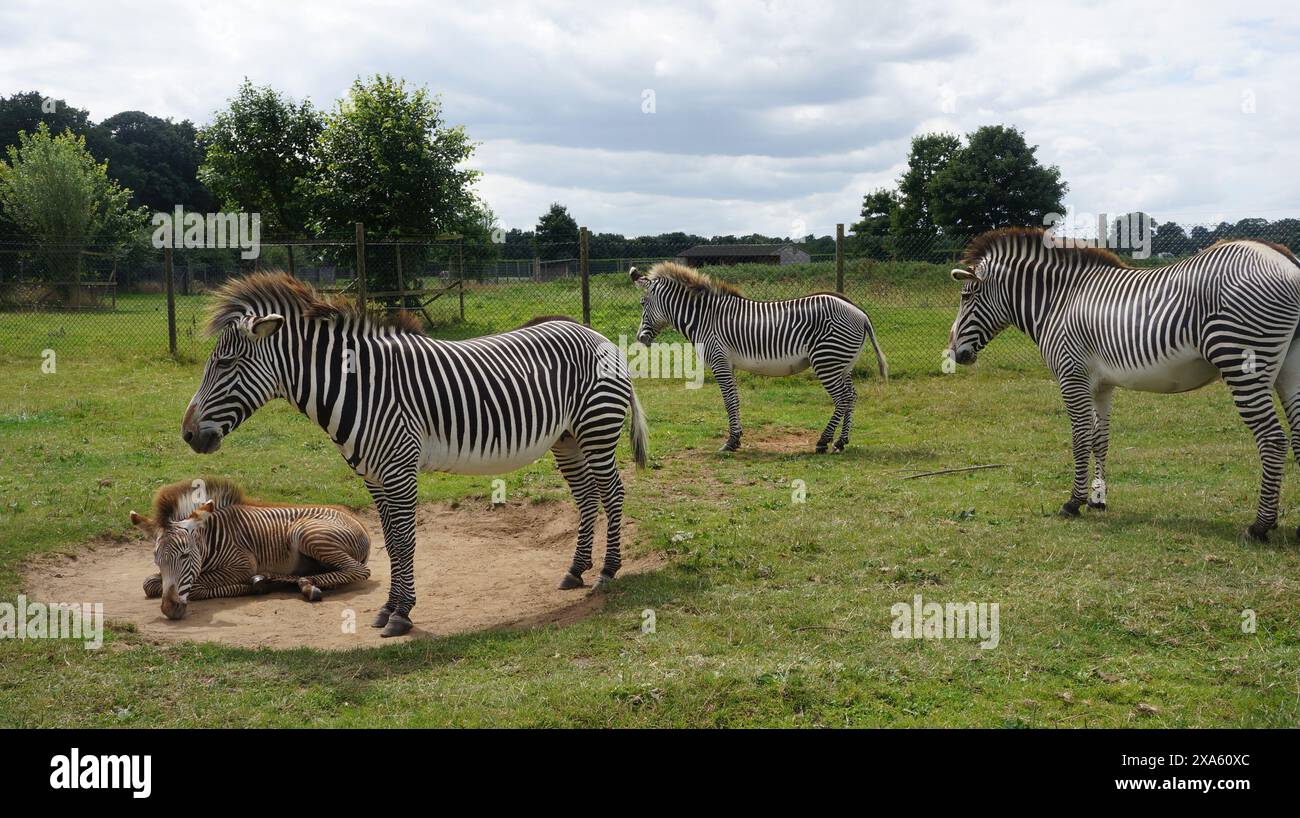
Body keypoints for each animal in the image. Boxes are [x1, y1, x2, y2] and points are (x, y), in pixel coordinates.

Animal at [129, 477, 370, 620]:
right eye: (157, 560)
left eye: (185, 555)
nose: (169, 610)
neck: (211, 539)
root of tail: (356, 519)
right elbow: (148, 584)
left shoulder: (242, 565)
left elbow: (197, 585)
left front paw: (253, 586)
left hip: (307, 533)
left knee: (359, 570)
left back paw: (296, 583)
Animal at [181, 272, 649, 637]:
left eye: (225, 363)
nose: (187, 435)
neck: (357, 386)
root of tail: (595, 334)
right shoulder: (373, 476)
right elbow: (389, 541)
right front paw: (389, 607)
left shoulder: (399, 469)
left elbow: (405, 541)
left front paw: (402, 614)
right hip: (567, 439)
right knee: (587, 497)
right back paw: (576, 570)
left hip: (597, 428)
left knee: (612, 494)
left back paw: (607, 572)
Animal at [631, 261, 888, 452]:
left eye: (643, 303)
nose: (640, 338)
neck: (704, 318)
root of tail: (860, 313)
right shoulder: (729, 364)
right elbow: (735, 399)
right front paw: (737, 438)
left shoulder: (719, 361)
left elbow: (729, 400)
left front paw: (731, 442)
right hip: (843, 364)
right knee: (851, 396)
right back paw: (841, 441)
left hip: (827, 361)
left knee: (842, 399)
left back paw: (823, 442)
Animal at [947, 226, 1300, 540]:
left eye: (968, 296)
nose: (955, 354)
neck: (1059, 301)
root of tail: (1283, 256)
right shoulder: (1102, 385)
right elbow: (1099, 440)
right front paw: (1097, 499)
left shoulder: (1071, 376)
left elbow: (1079, 439)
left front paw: (1073, 502)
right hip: (1289, 369)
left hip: (1243, 364)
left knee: (1273, 441)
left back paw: (1259, 526)